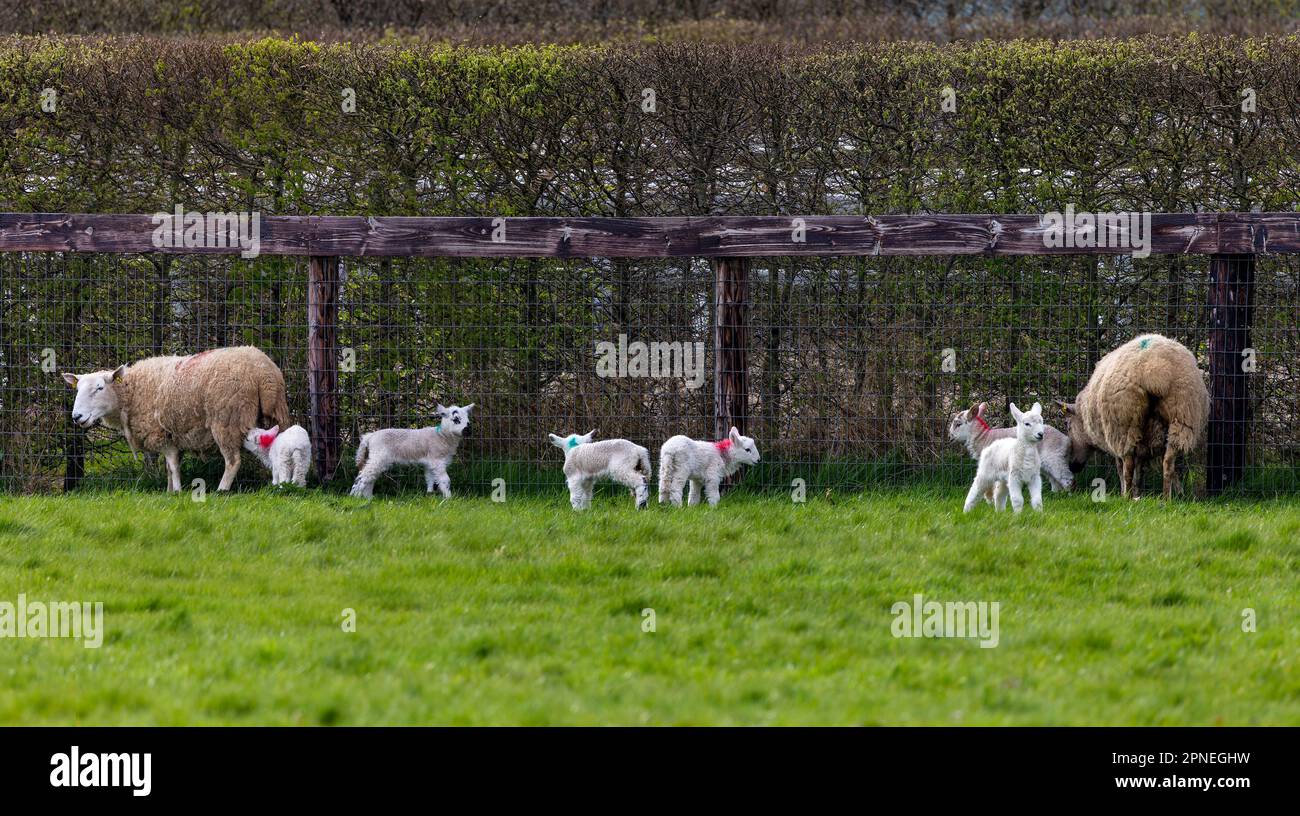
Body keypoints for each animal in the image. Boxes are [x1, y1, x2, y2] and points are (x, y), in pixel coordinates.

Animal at [63, 346, 291, 492]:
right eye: (77, 389)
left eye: (100, 388)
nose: (76, 417)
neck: (131, 393)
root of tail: (264, 373)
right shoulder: (173, 435)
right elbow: (169, 468)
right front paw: (169, 491)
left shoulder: (161, 434)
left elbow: (172, 466)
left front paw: (177, 492)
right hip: (276, 413)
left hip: (227, 420)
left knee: (233, 461)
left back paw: (221, 490)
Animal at [1057, 333, 1208, 499]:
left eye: (1068, 426)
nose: (1073, 467)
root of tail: (1156, 368)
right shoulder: (1144, 441)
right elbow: (1140, 469)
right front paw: (1140, 493)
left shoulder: (1113, 440)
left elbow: (1122, 467)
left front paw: (1127, 491)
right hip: (1182, 415)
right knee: (1168, 462)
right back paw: (1166, 498)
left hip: (1124, 423)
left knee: (1128, 464)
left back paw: (1127, 496)